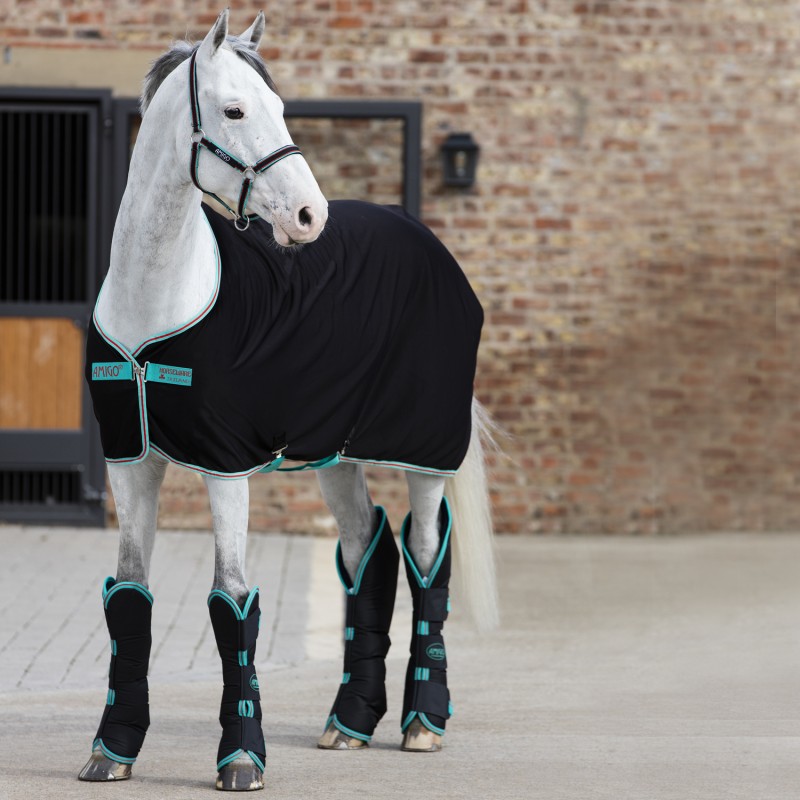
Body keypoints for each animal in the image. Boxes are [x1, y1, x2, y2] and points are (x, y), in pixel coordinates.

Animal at [78, 10, 498, 791]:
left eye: (278, 106)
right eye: (235, 111)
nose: (309, 216)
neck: (158, 301)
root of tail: (426, 240)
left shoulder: (226, 468)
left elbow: (232, 602)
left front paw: (242, 758)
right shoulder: (130, 464)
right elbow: (130, 599)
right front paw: (111, 750)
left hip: (425, 453)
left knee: (427, 556)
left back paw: (422, 723)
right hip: (337, 455)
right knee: (368, 553)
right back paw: (349, 724)